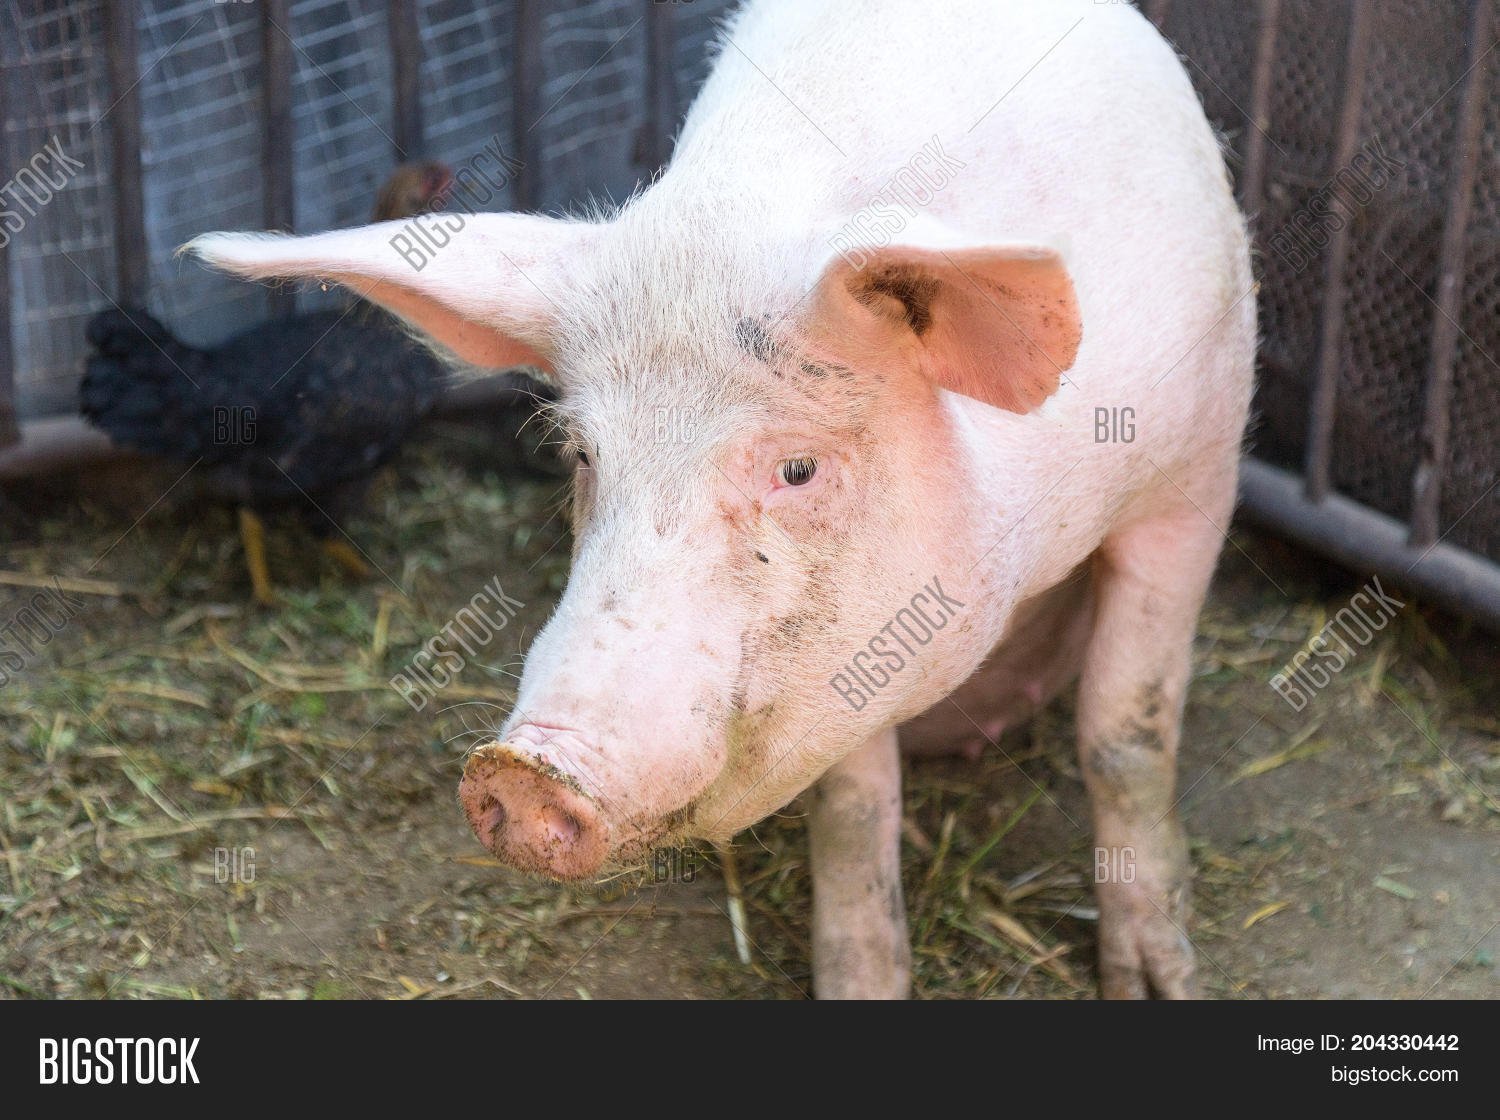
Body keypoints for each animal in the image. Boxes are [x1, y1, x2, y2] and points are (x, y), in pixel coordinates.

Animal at [189, 0, 1254, 998]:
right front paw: (862, 983)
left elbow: (1126, 734)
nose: (523, 770)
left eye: (798, 470)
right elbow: (854, 809)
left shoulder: (1198, 468)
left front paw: (1161, 984)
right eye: (582, 453)